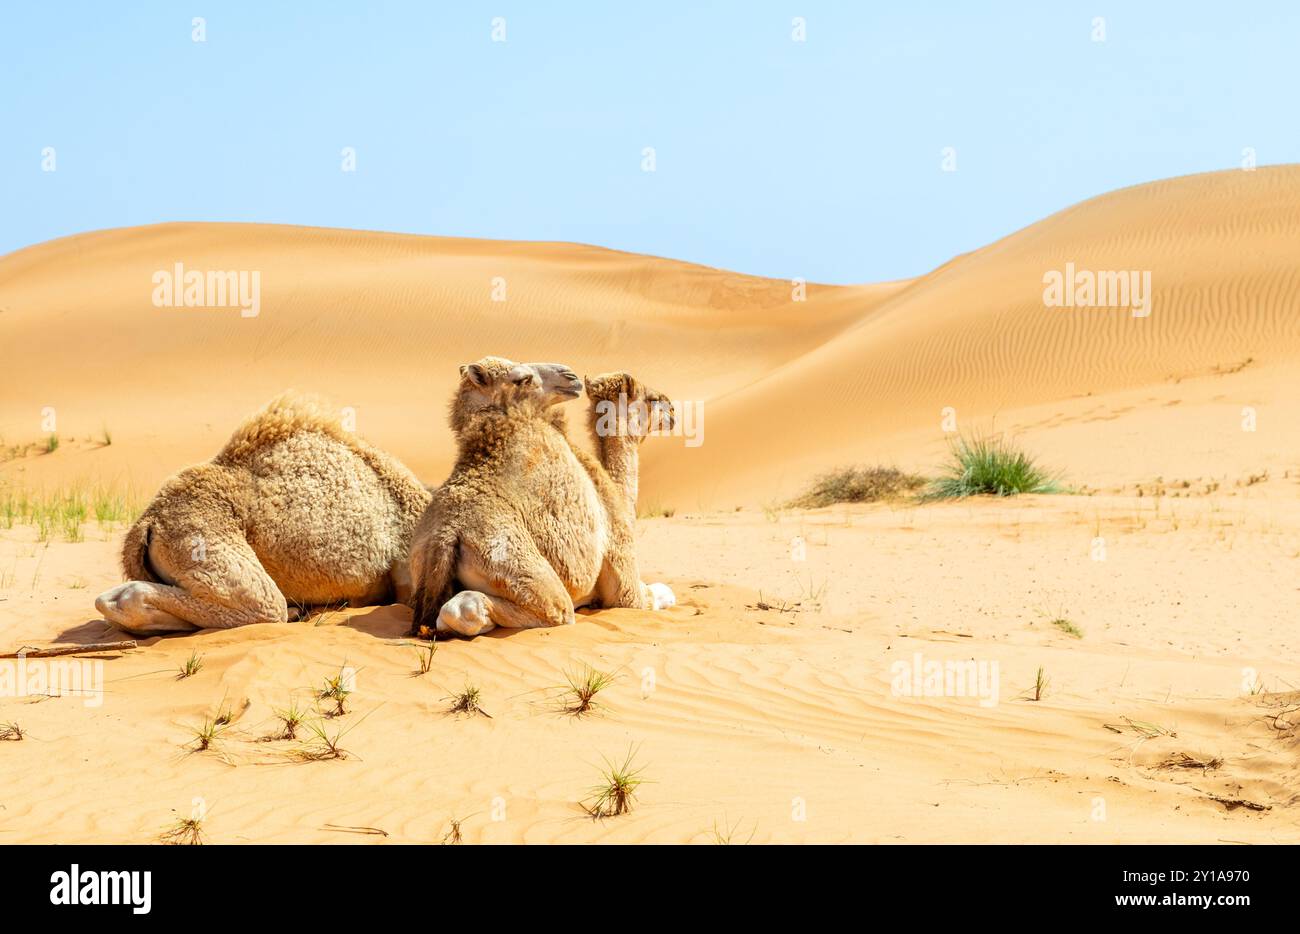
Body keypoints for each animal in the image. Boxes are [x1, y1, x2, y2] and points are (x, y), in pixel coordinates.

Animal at [95, 368, 578, 635]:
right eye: (522, 378)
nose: (573, 379)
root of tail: (146, 524)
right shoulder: (407, 574)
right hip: (206, 541)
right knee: (255, 605)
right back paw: (290, 610)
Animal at [408, 357, 676, 638]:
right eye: (652, 399)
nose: (672, 409)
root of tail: (447, 534)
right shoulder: (623, 575)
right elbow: (659, 593)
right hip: (516, 567)